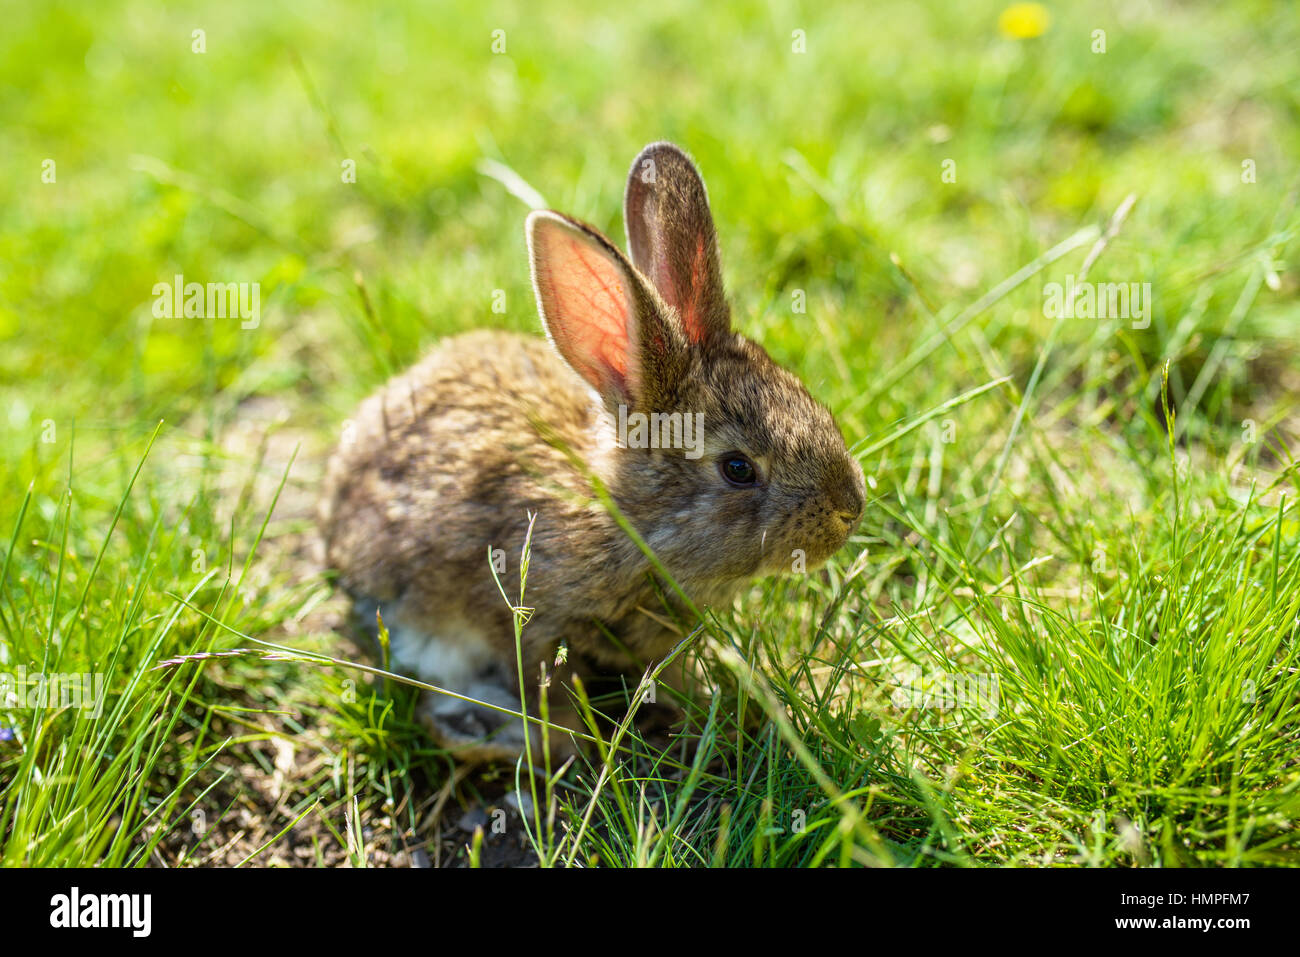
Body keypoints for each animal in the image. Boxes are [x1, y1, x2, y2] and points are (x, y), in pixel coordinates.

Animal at [319, 142, 865, 761]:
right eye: (737, 469)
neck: (624, 518)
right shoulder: (530, 622)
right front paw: (571, 742)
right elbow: (548, 693)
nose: (851, 509)